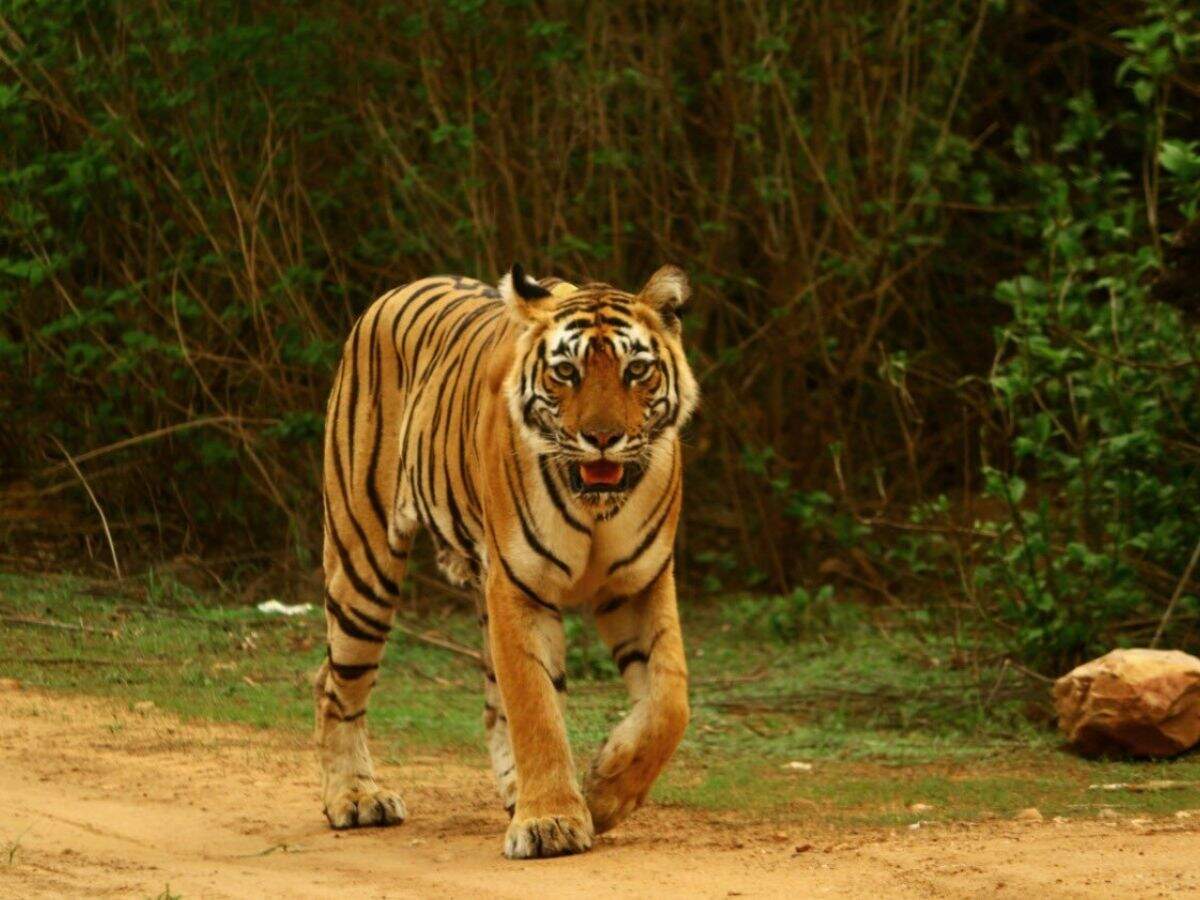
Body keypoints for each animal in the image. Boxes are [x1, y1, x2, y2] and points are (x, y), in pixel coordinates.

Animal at [313, 263, 699, 859]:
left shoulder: (640, 584)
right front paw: (551, 821)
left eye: (636, 371)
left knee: (491, 703)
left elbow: (669, 703)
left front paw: (604, 791)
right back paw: (355, 797)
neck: (596, 508)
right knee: (337, 685)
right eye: (566, 372)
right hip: (363, 564)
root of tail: (397, 290)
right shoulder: (519, 586)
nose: (603, 439)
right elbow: (535, 708)